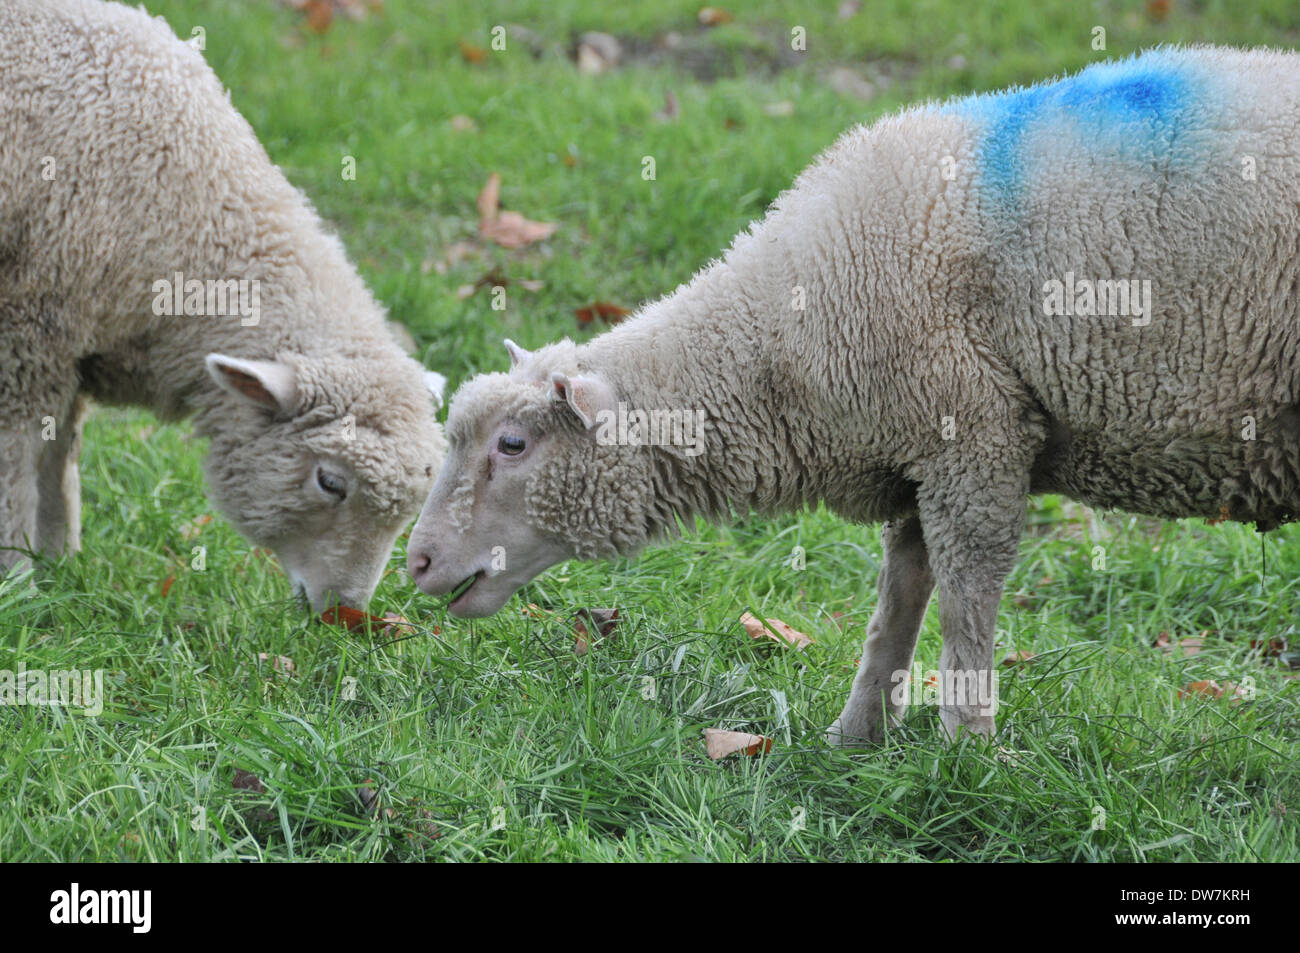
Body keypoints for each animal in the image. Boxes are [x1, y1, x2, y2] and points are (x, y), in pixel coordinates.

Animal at [0, 0, 446, 610]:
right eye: (330, 482)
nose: (346, 614)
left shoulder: (72, 337)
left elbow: (59, 452)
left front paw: (60, 560)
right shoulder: (29, 329)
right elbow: (17, 461)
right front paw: (16, 581)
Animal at [408, 46, 1300, 741]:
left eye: (513, 444)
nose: (414, 561)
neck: (778, 342)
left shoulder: (974, 435)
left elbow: (965, 602)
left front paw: (968, 748)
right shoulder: (917, 455)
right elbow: (897, 600)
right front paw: (857, 736)